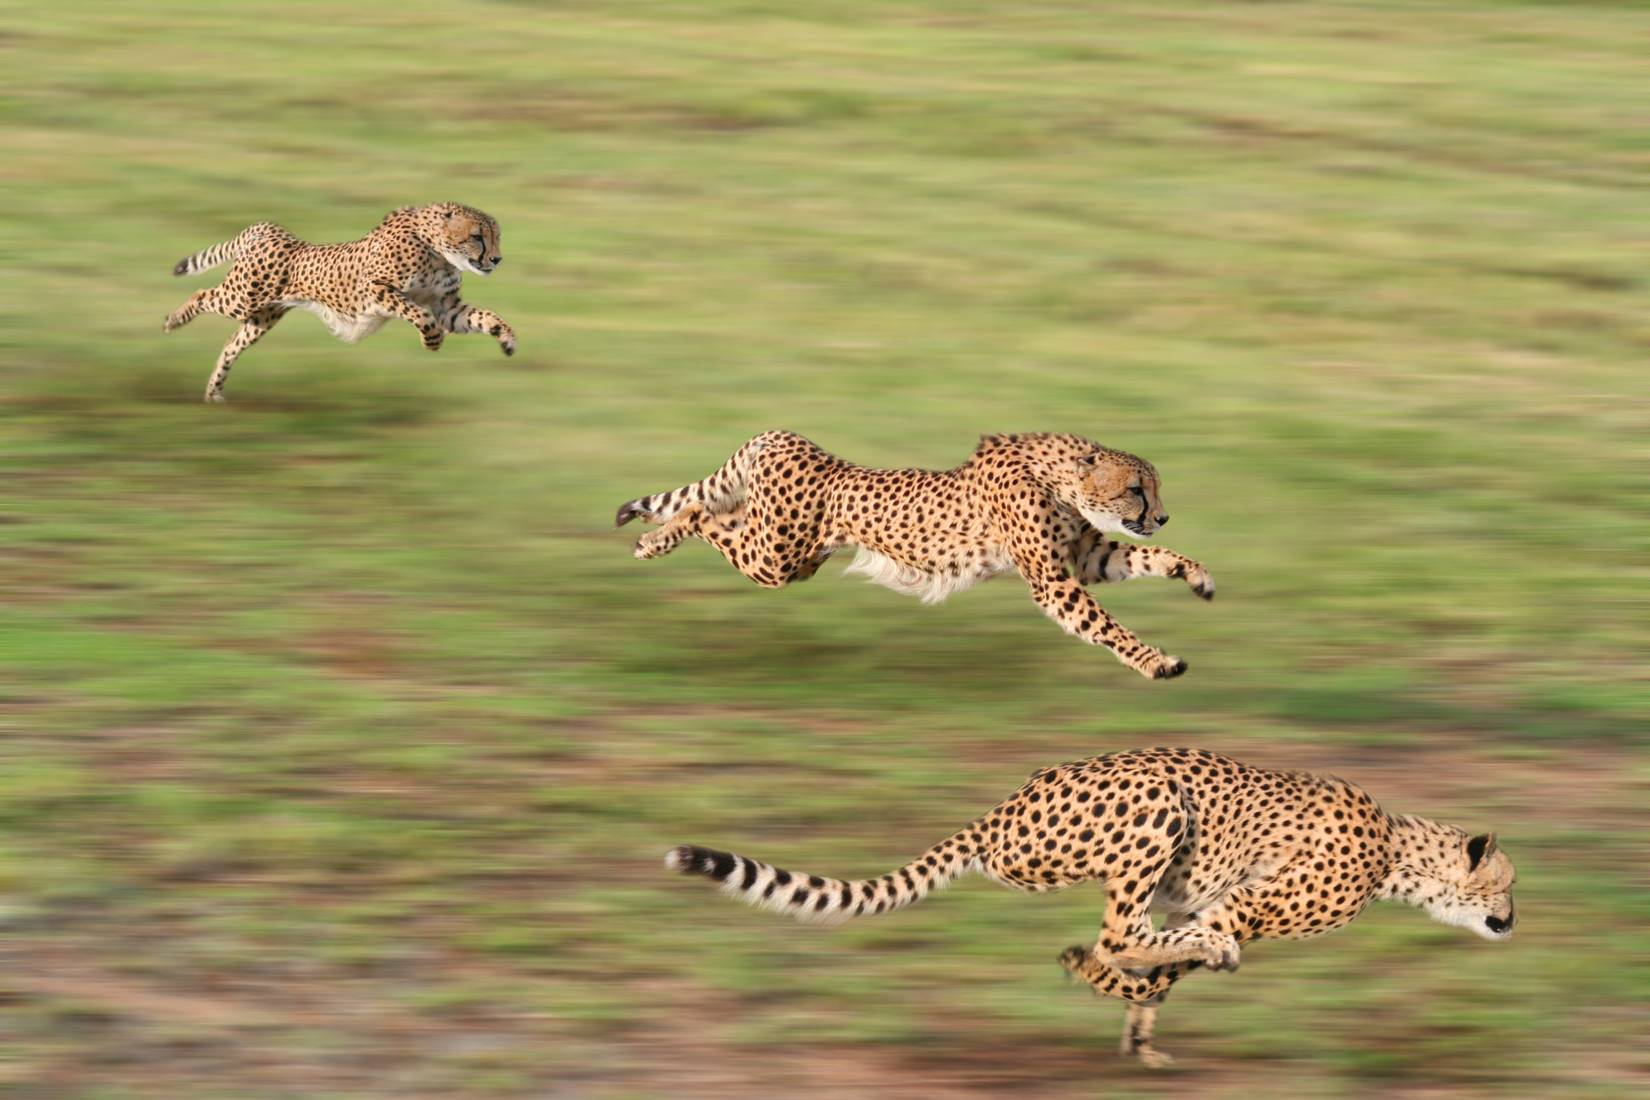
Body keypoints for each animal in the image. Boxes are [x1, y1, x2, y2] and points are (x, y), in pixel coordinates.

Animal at [163, 202, 514, 402]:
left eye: (496, 236)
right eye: (477, 236)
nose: (497, 259)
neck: (437, 251)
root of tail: (271, 230)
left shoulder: (446, 307)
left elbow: (485, 316)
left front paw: (507, 338)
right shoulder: (375, 289)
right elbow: (418, 314)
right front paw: (431, 341)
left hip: (261, 318)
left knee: (230, 345)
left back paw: (214, 391)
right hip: (241, 297)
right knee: (201, 294)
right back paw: (173, 320)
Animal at [615, 430, 1213, 680]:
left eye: (1152, 489)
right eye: (1137, 489)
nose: (1161, 515)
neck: (1059, 476)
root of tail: (784, 436)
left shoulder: (1085, 557)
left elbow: (1150, 557)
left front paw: (1196, 575)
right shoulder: (1052, 580)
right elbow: (1107, 626)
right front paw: (1155, 662)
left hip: (788, 551)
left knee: (713, 512)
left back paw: (652, 534)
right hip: (774, 558)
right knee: (700, 512)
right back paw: (653, 540)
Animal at [665, 747, 1517, 1068]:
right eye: (1507, 884)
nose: (1514, 920)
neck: (1400, 850)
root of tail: (1002, 809)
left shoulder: (1209, 905)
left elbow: (1168, 968)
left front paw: (1139, 1036)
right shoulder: (1245, 902)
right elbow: (1178, 953)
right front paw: (1126, 998)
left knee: (1126, 933)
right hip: (1158, 806)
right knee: (1115, 932)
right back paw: (1087, 958)